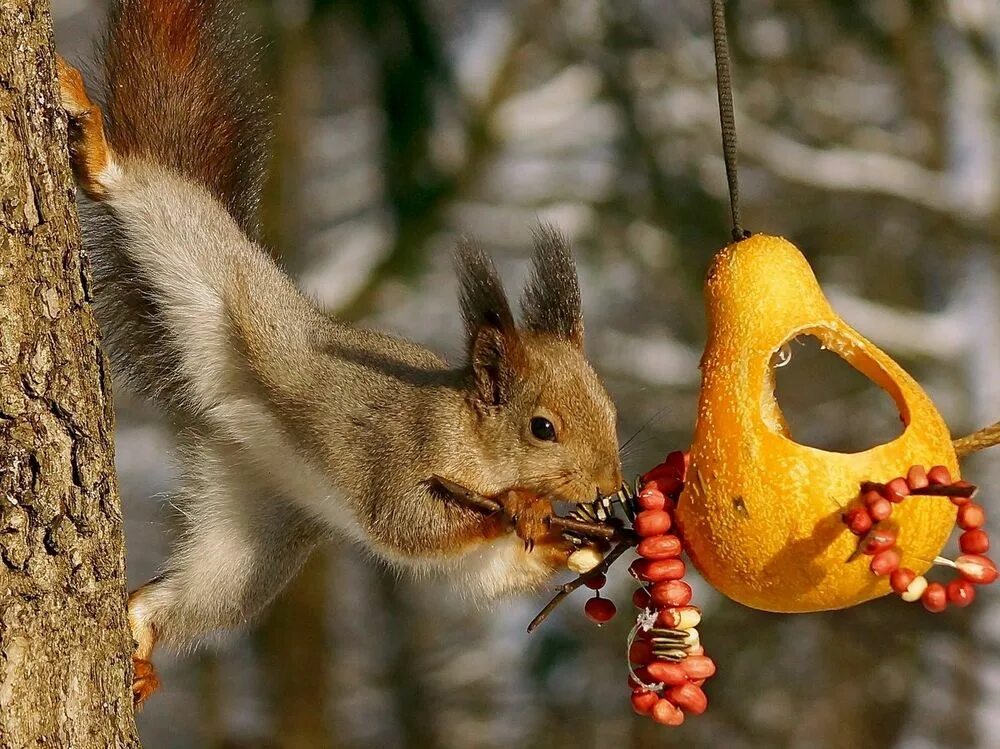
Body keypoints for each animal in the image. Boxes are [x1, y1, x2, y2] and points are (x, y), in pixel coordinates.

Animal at [58, 0, 620, 704]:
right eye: (542, 428)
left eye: (611, 408)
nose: (611, 484)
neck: (473, 438)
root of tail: (228, 418)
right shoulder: (400, 447)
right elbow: (407, 523)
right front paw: (531, 509)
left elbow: (484, 571)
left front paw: (573, 545)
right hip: (214, 272)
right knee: (151, 200)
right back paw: (98, 151)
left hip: (256, 531)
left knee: (196, 595)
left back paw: (140, 632)